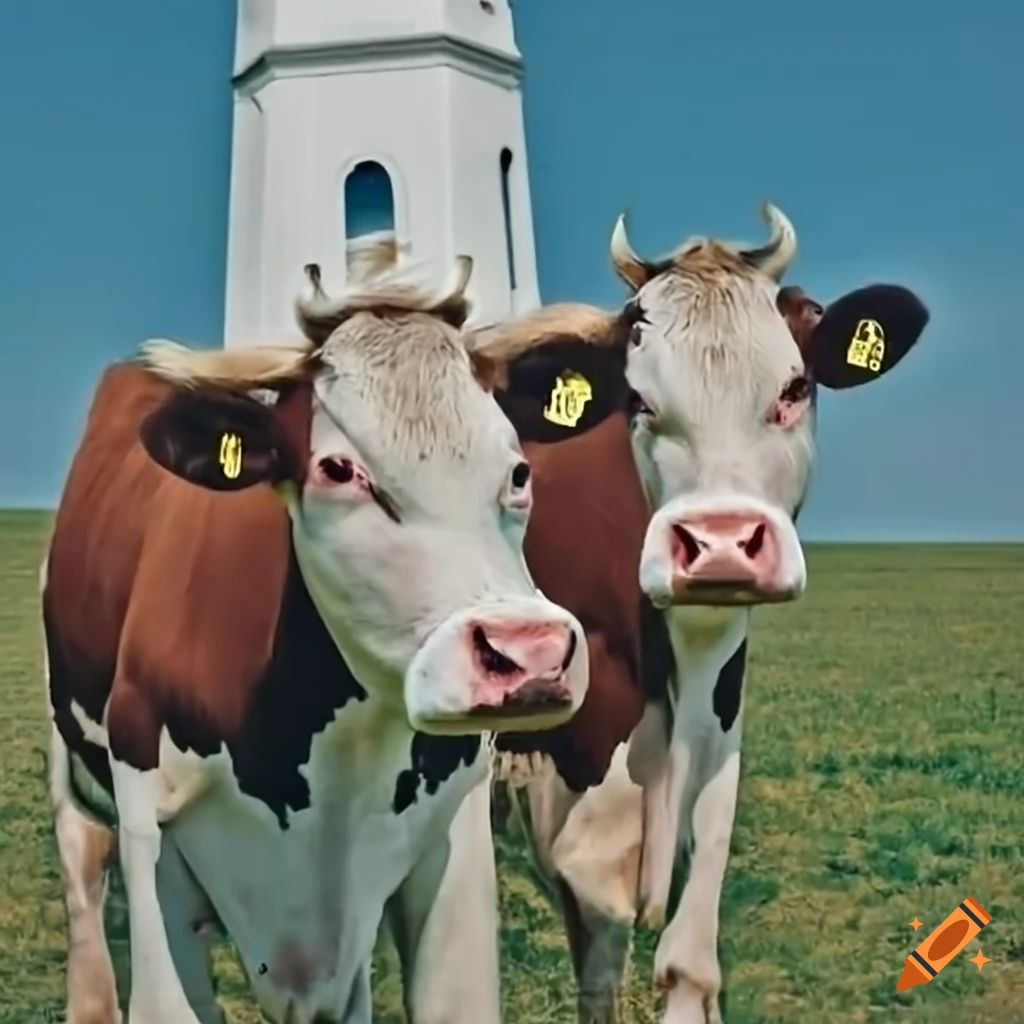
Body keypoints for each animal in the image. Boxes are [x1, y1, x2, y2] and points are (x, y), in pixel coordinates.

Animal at [41, 256, 591, 1024]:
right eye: (338, 469)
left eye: (518, 470)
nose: (529, 651)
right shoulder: (152, 833)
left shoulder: (451, 837)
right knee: (82, 862)